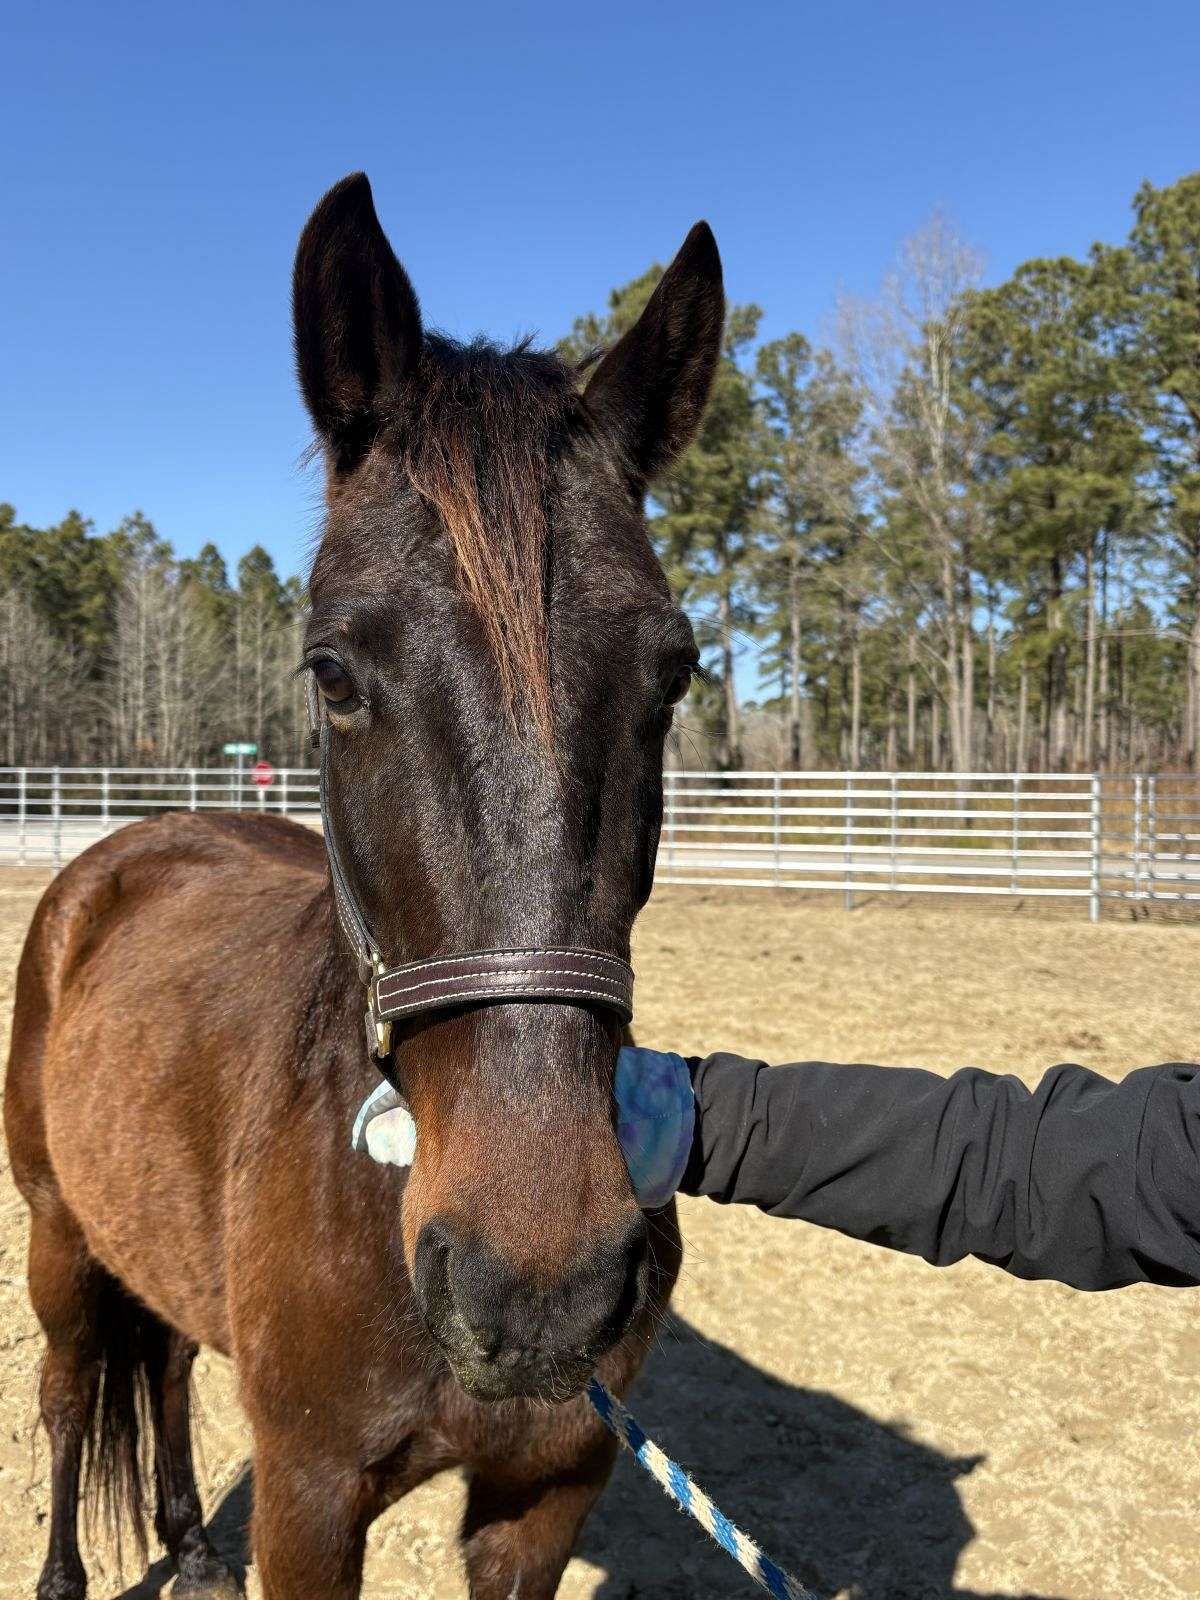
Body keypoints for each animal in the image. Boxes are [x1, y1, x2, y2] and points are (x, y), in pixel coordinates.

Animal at [4, 172, 724, 1600]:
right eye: (331, 671)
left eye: (674, 670)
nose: (537, 1284)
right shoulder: (310, 1495)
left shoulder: (545, 1495)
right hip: (59, 1232)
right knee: (67, 1391)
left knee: (167, 1358)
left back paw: (188, 1540)